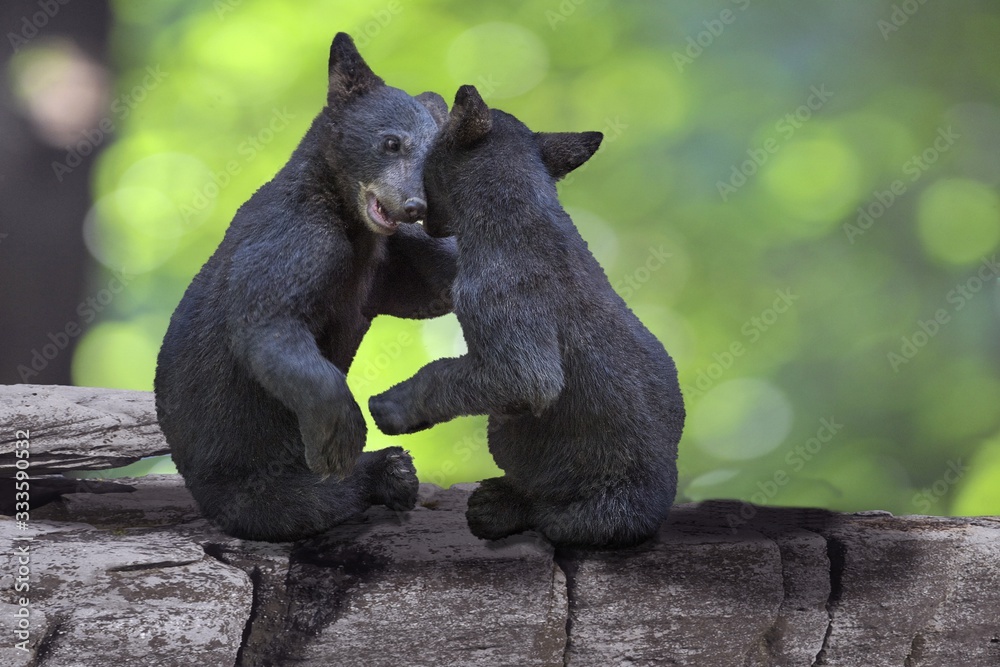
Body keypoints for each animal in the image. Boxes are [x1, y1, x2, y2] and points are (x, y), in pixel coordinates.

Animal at [154, 33, 457, 542]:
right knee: (307, 502)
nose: (415, 206)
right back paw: (386, 472)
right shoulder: (300, 237)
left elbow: (431, 289)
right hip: (250, 481)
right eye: (391, 142)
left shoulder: (378, 267)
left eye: (437, 161)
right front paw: (339, 437)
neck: (352, 226)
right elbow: (270, 321)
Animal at [369, 85, 685, 548]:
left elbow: (439, 374)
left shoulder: (518, 362)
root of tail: (660, 503)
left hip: (566, 496)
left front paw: (391, 407)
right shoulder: (452, 274)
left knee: (543, 513)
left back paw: (496, 506)